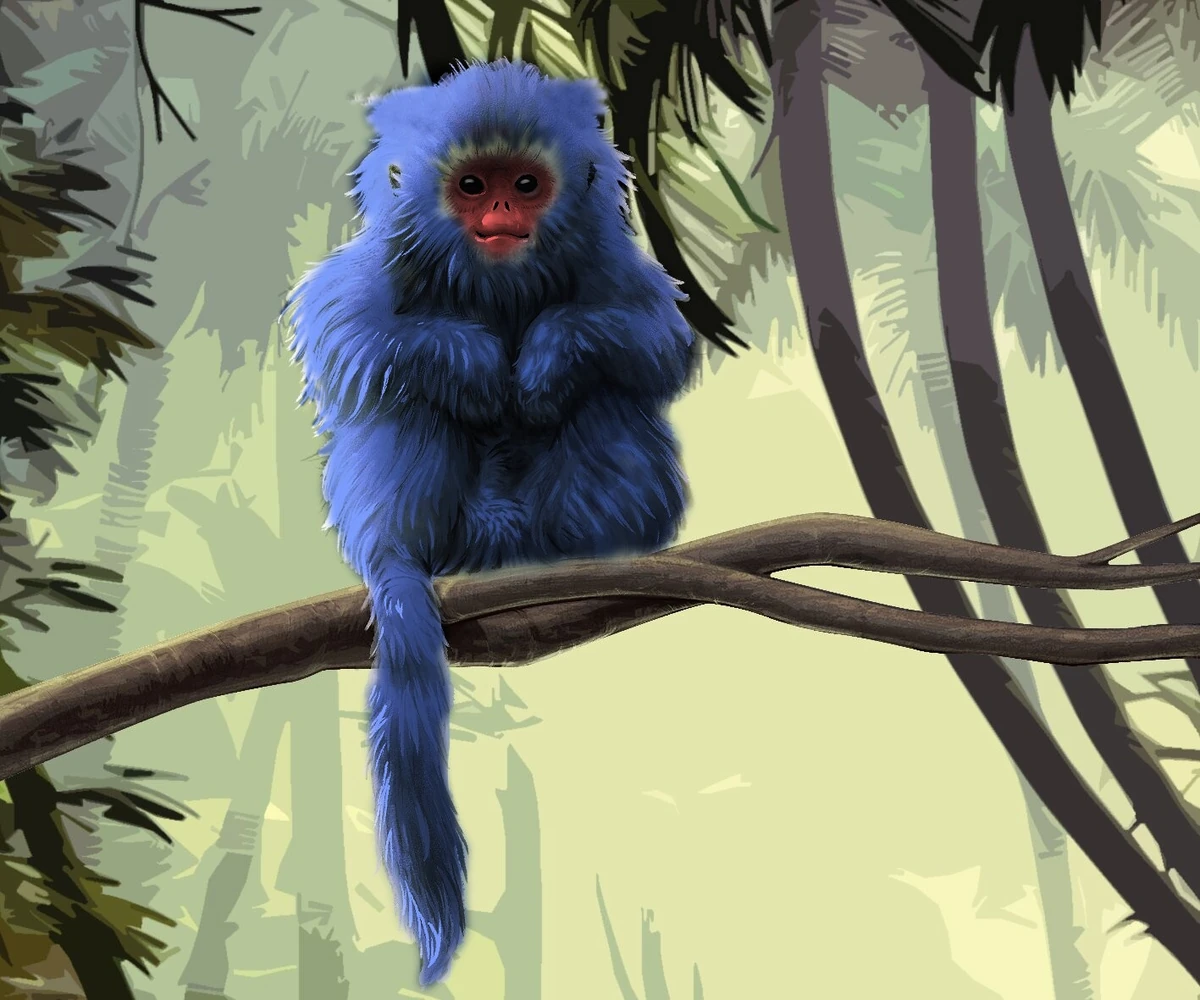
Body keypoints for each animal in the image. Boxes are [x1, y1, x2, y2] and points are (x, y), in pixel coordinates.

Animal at [286, 60, 693, 986]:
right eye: (473, 186)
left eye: (525, 185)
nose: (502, 215)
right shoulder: (383, 262)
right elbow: (348, 334)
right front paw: (476, 366)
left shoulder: (605, 255)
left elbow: (655, 345)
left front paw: (545, 357)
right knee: (405, 398)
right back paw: (412, 549)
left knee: (607, 395)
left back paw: (601, 541)